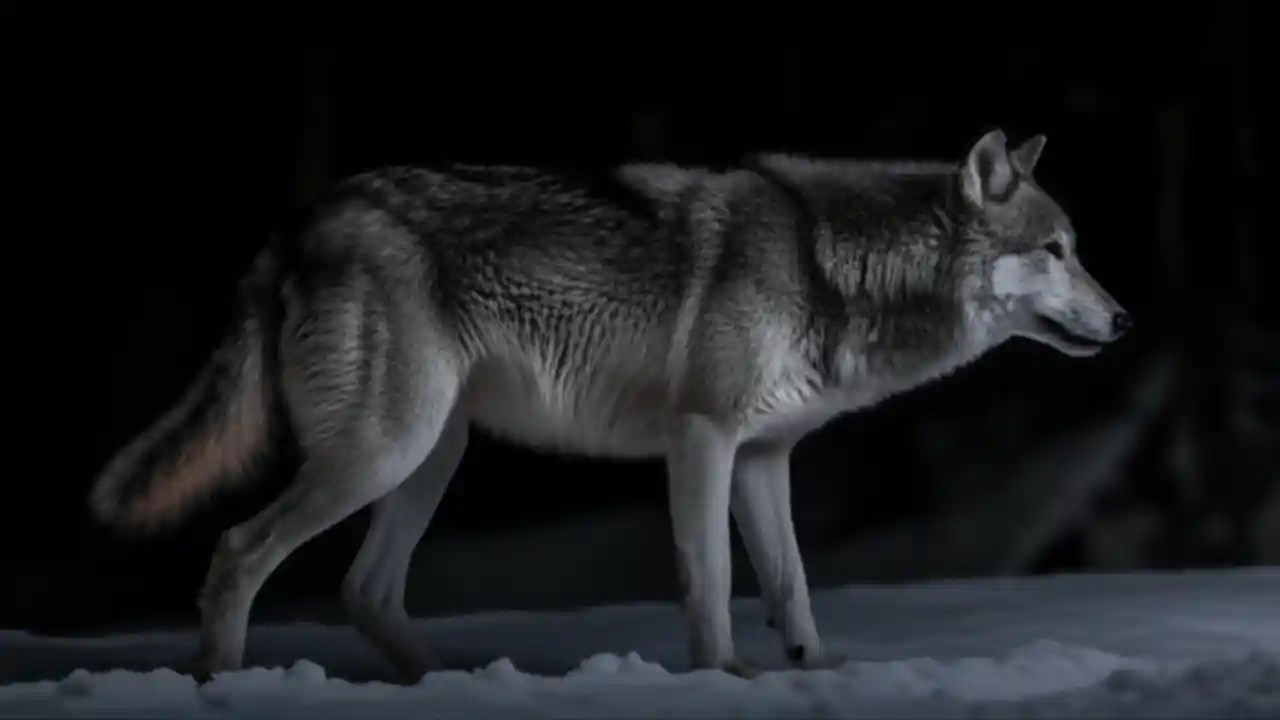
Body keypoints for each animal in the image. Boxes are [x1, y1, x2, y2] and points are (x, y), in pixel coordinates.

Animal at [87, 128, 1130, 681]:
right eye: (1058, 251)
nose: (1124, 319)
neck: (828, 266)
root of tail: (305, 217)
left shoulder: (764, 459)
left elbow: (791, 587)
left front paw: (809, 675)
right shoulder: (702, 440)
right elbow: (710, 581)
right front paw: (720, 680)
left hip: (432, 454)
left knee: (363, 590)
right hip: (388, 449)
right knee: (239, 551)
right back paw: (223, 685)